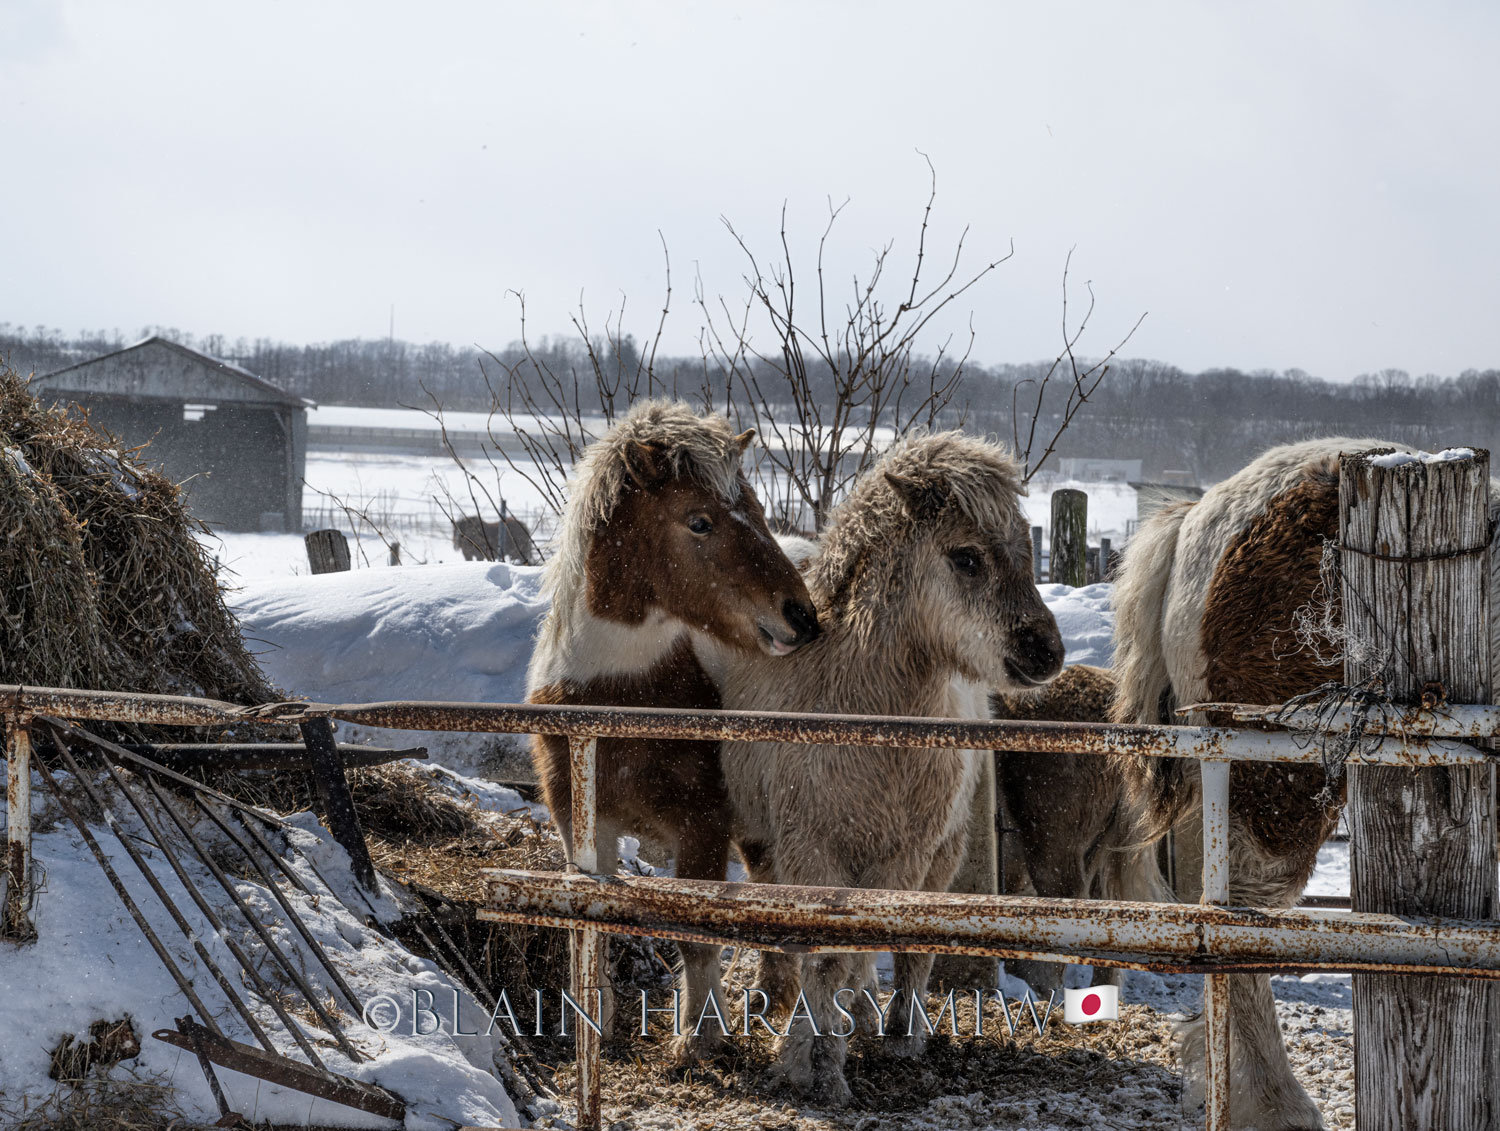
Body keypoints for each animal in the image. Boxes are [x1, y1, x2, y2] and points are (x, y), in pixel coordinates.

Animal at [524, 399, 819, 1058]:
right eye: (700, 522)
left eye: (759, 511)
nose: (803, 618)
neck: (621, 696)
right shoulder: (582, 820)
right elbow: (595, 919)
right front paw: (594, 1019)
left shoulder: (702, 826)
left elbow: (694, 930)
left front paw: (699, 1039)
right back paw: (771, 994)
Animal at [716, 432, 1065, 1104]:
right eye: (967, 557)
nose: (1047, 651)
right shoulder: (809, 849)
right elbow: (826, 953)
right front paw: (806, 1061)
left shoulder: (902, 854)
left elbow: (861, 948)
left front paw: (827, 1057)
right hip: (766, 843)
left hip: (942, 853)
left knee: (910, 948)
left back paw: (900, 1030)